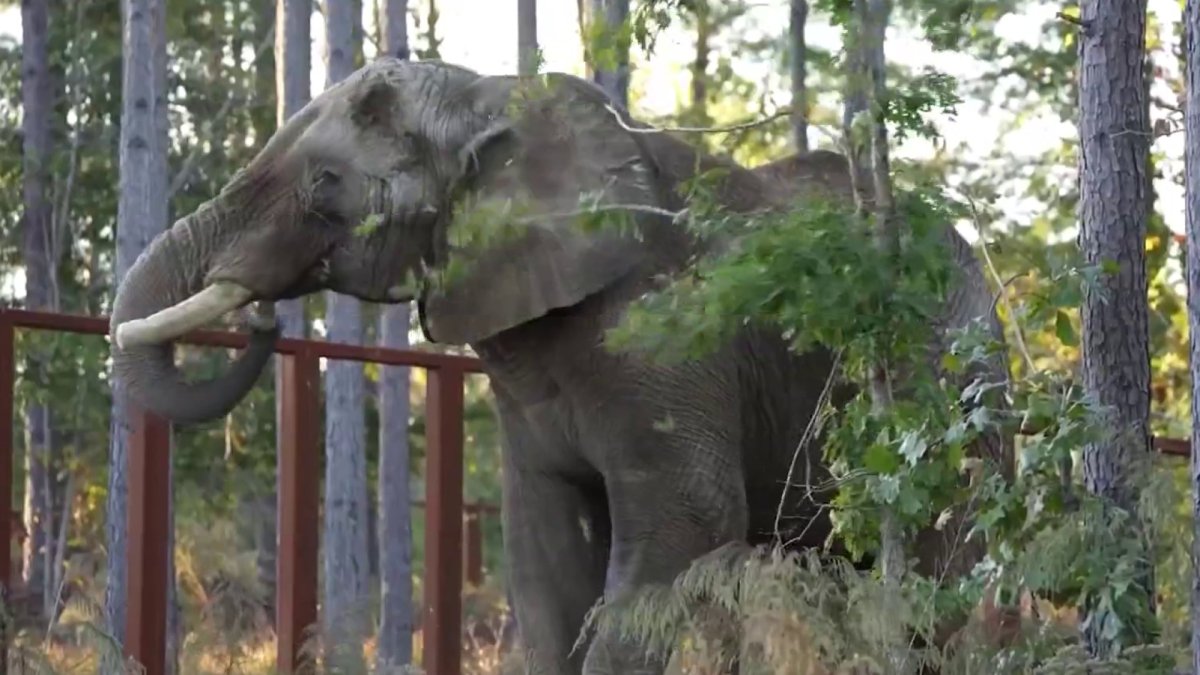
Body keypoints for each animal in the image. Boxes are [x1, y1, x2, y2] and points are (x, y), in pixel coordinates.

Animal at [109, 57, 1012, 673]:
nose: (260, 313)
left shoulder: (662, 324)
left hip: (956, 398)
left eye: (326, 184)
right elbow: (545, 546)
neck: (488, 98)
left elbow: (687, 520)